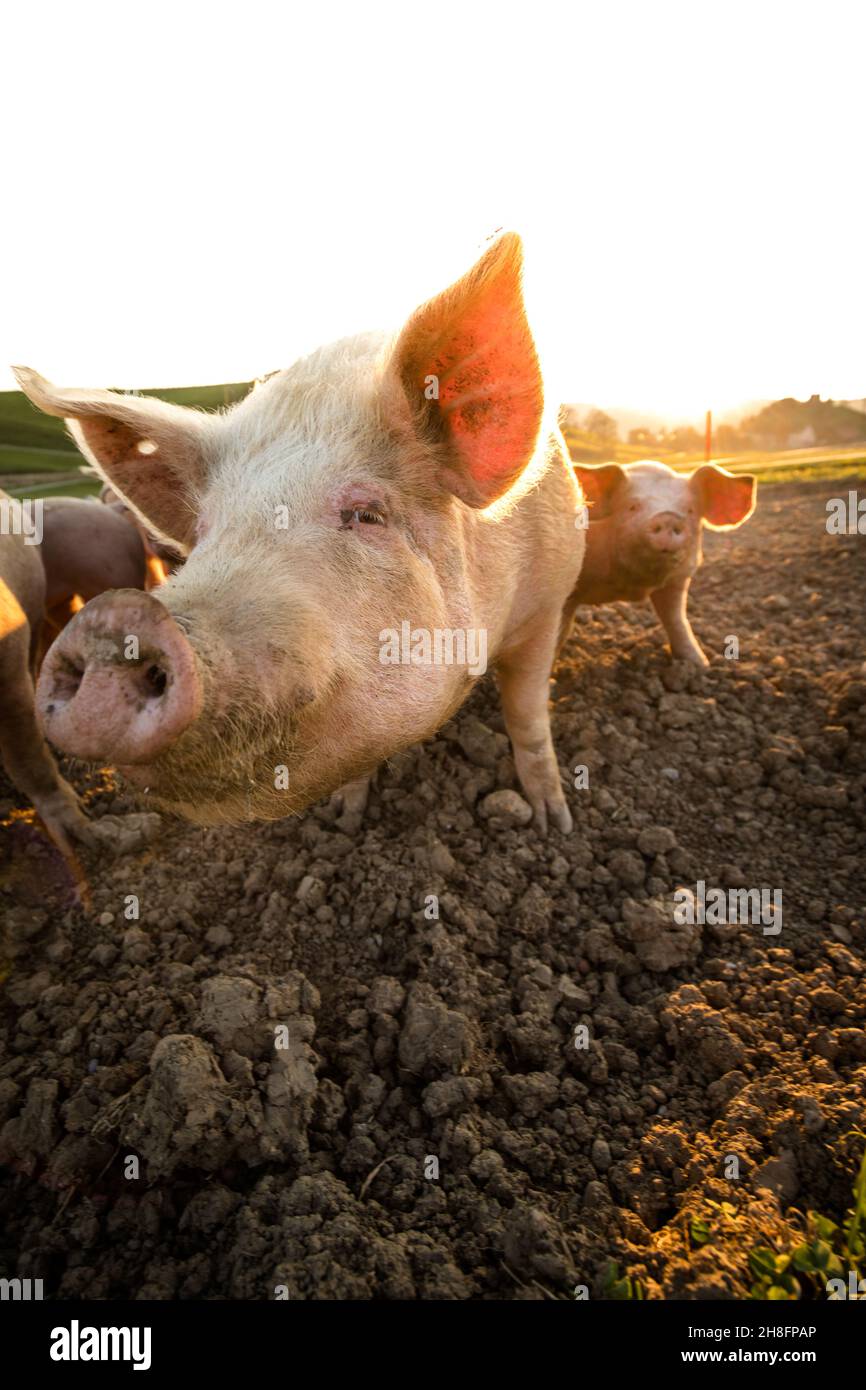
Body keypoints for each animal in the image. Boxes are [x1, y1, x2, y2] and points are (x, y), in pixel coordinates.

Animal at [16, 233, 586, 833]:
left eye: (366, 514)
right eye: (207, 527)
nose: (114, 615)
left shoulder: (545, 602)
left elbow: (527, 714)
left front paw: (554, 823)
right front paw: (342, 818)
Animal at [569, 460, 756, 665]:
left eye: (690, 510)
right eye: (632, 507)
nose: (668, 516)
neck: (630, 585)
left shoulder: (677, 581)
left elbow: (676, 619)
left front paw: (700, 663)